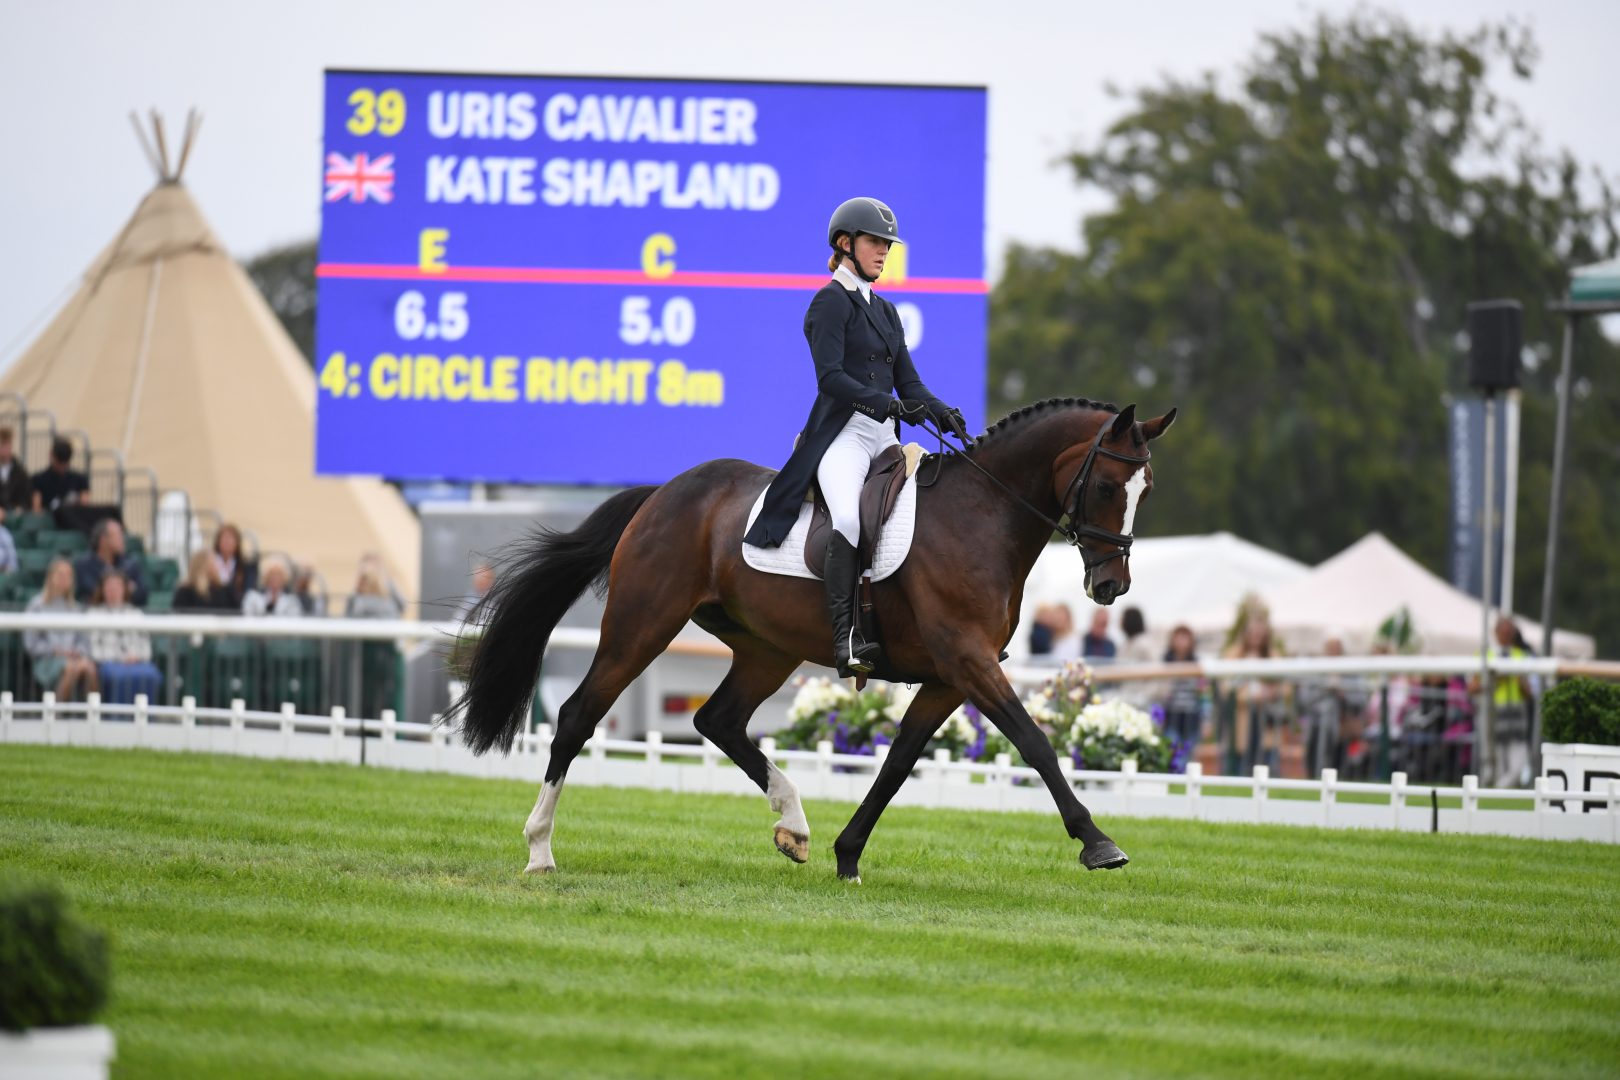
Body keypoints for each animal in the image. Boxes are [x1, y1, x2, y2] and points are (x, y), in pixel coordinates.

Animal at [449, 397, 1176, 882]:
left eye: (1148, 491)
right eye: (1105, 485)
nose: (1111, 586)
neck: (984, 517)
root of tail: (663, 493)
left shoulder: (947, 677)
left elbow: (897, 763)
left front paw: (847, 854)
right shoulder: (968, 662)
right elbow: (1035, 742)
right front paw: (1097, 842)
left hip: (768, 647)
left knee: (719, 721)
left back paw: (793, 826)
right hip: (641, 624)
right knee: (579, 716)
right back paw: (540, 850)